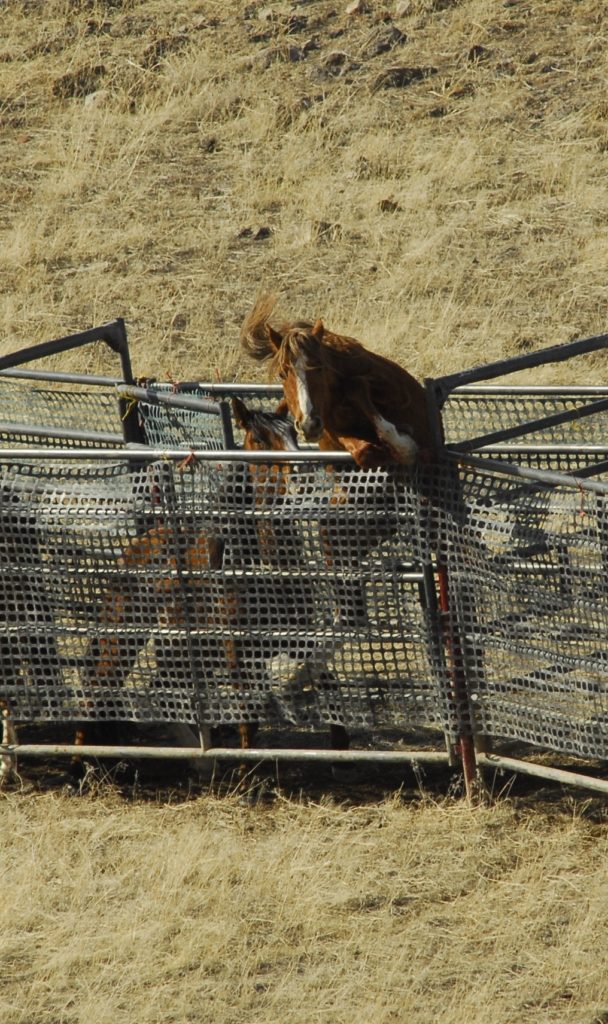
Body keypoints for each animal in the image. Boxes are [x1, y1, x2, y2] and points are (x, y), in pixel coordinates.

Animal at [239, 294, 433, 468]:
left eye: (320, 367)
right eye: (282, 374)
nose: (309, 424)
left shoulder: (398, 391)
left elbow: (355, 384)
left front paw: (404, 446)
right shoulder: (331, 433)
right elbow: (364, 452)